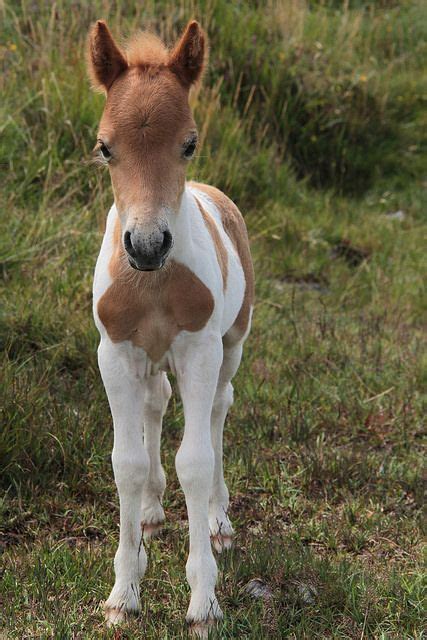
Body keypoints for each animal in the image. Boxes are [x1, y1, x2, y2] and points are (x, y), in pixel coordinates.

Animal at [87, 18, 254, 636]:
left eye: (189, 143)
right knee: (157, 404)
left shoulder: (199, 350)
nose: (147, 245)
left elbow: (196, 462)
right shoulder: (115, 353)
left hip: (232, 343)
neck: (154, 285)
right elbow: (127, 463)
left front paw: (204, 601)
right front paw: (122, 592)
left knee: (219, 409)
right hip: (151, 359)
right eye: (105, 147)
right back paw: (152, 516)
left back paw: (219, 523)